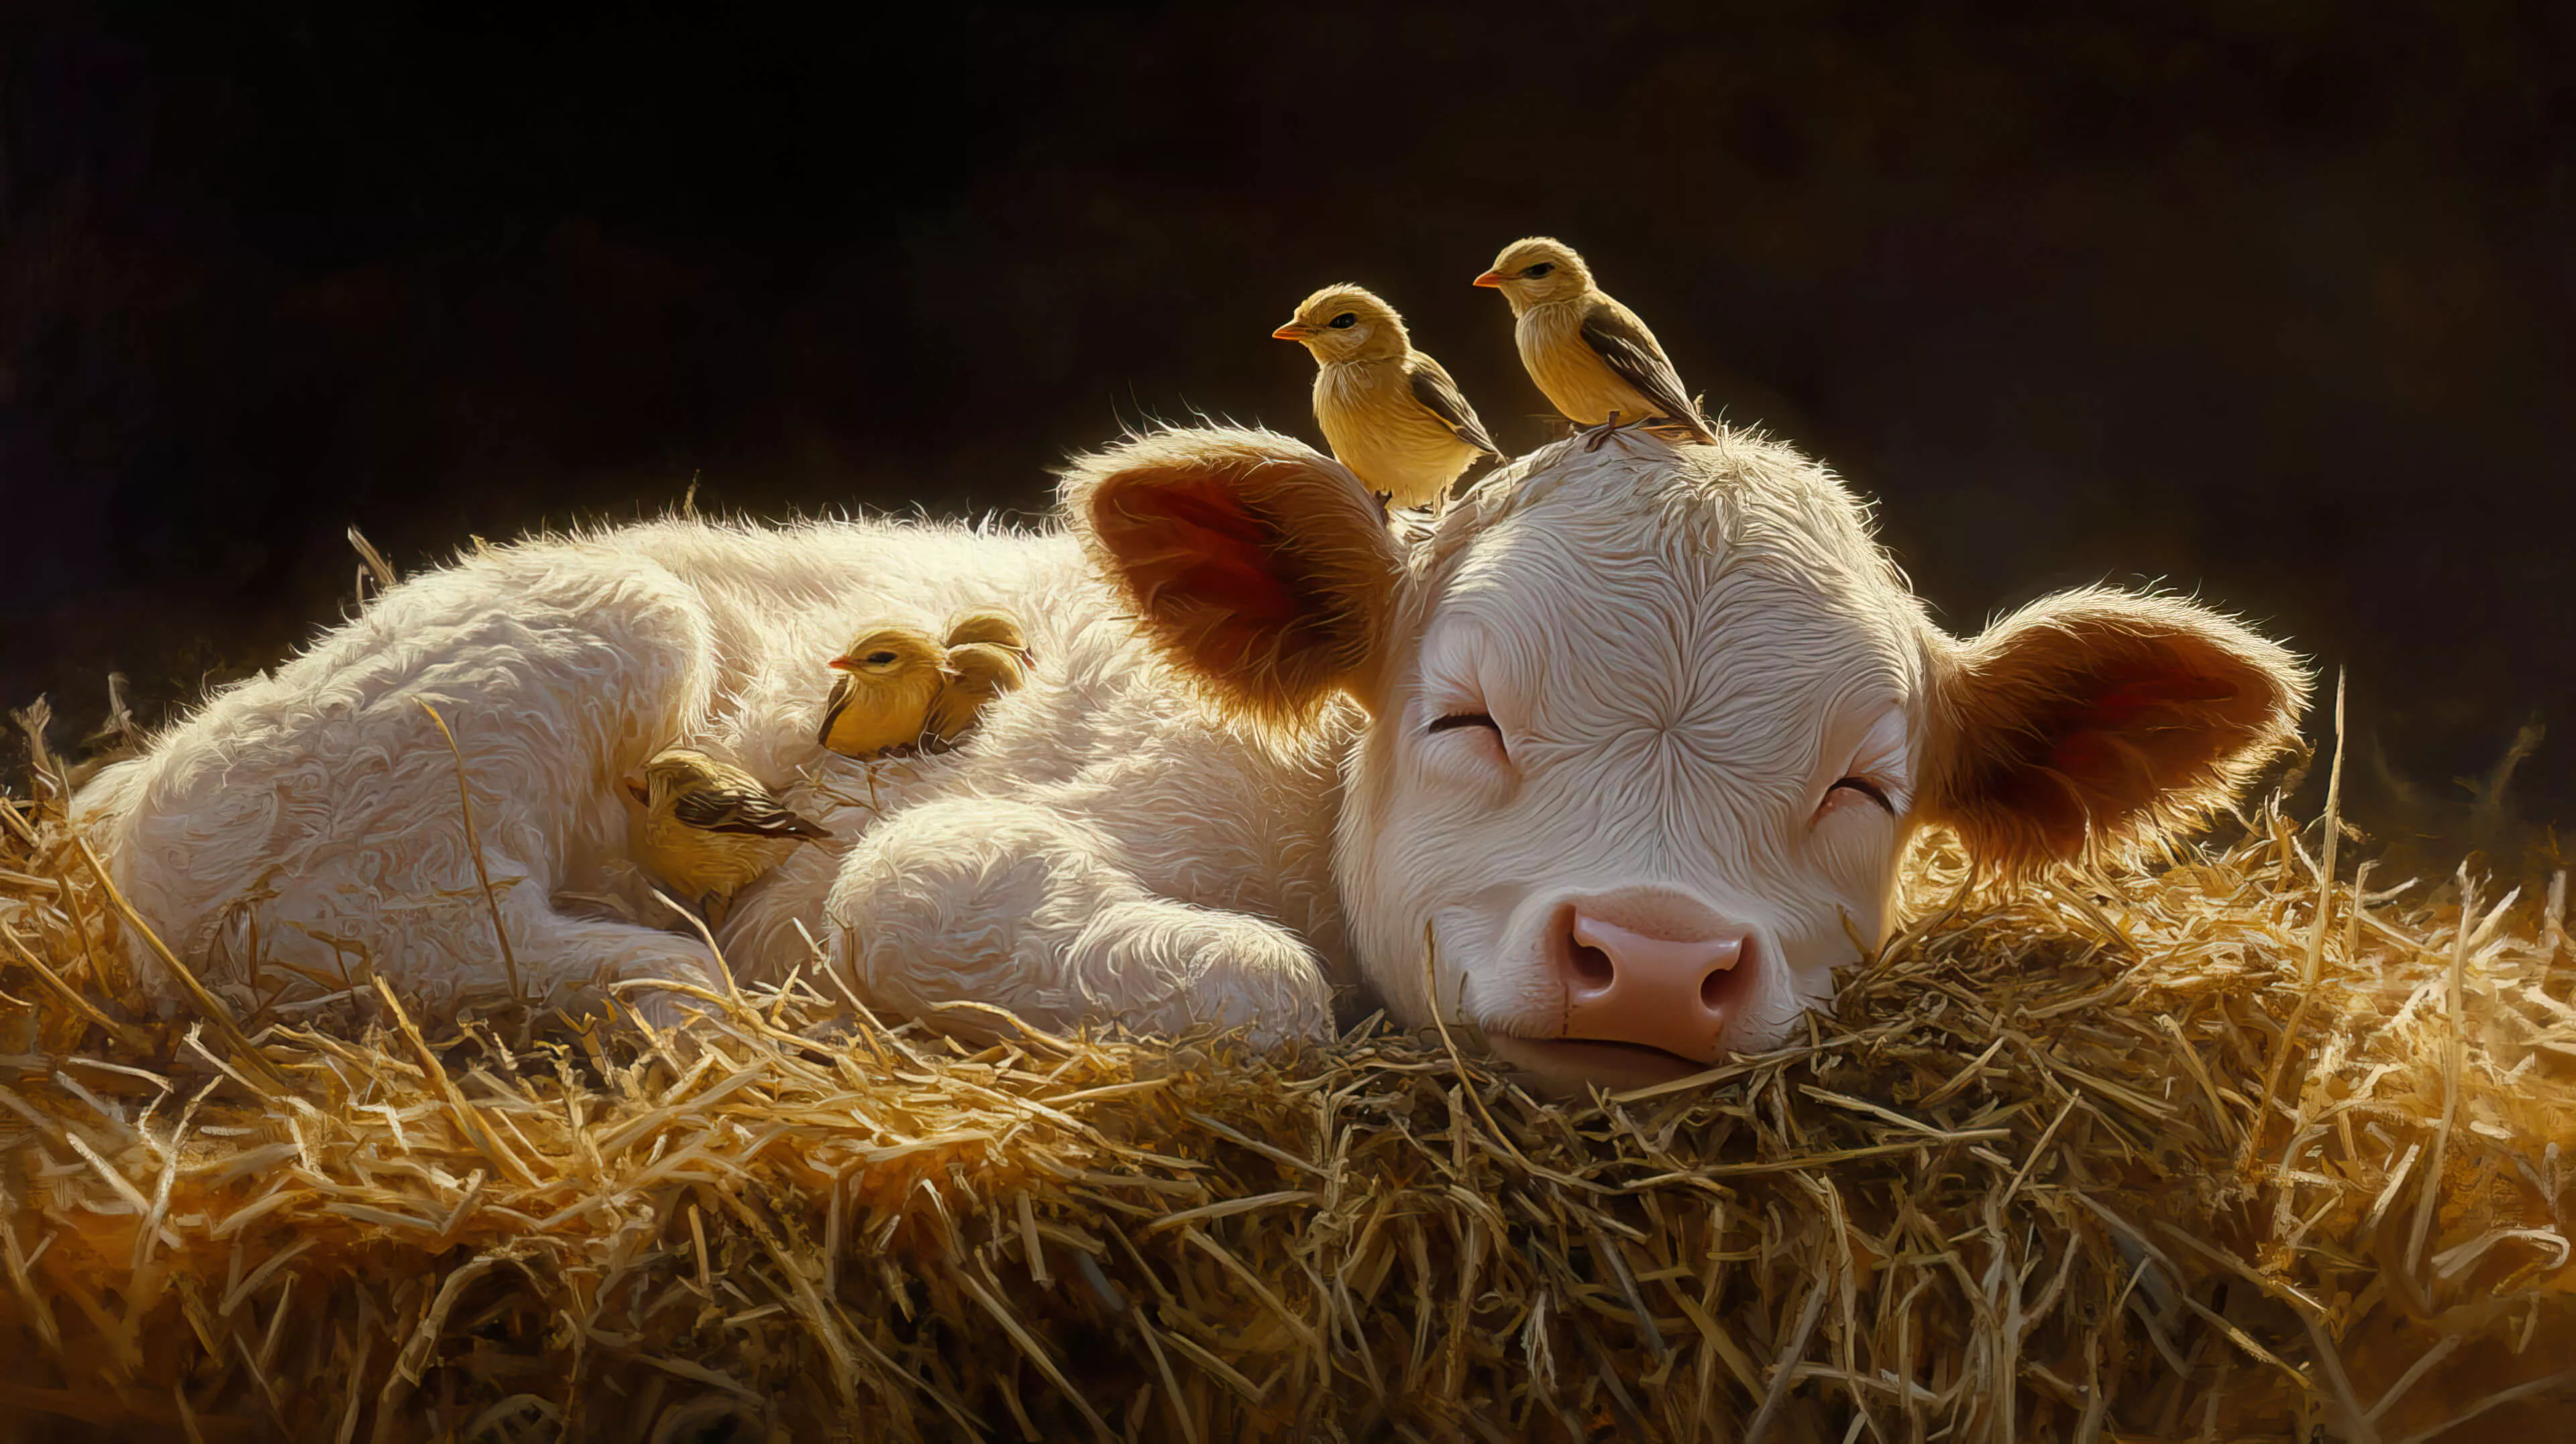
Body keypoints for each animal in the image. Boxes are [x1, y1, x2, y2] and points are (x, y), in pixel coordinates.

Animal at [73, 422, 2305, 1087]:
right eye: (1460, 714)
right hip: (550, 649)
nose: (1656, 957)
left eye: (1863, 787)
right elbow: (1241, 986)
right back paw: (667, 1004)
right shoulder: (928, 866)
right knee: (309, 913)